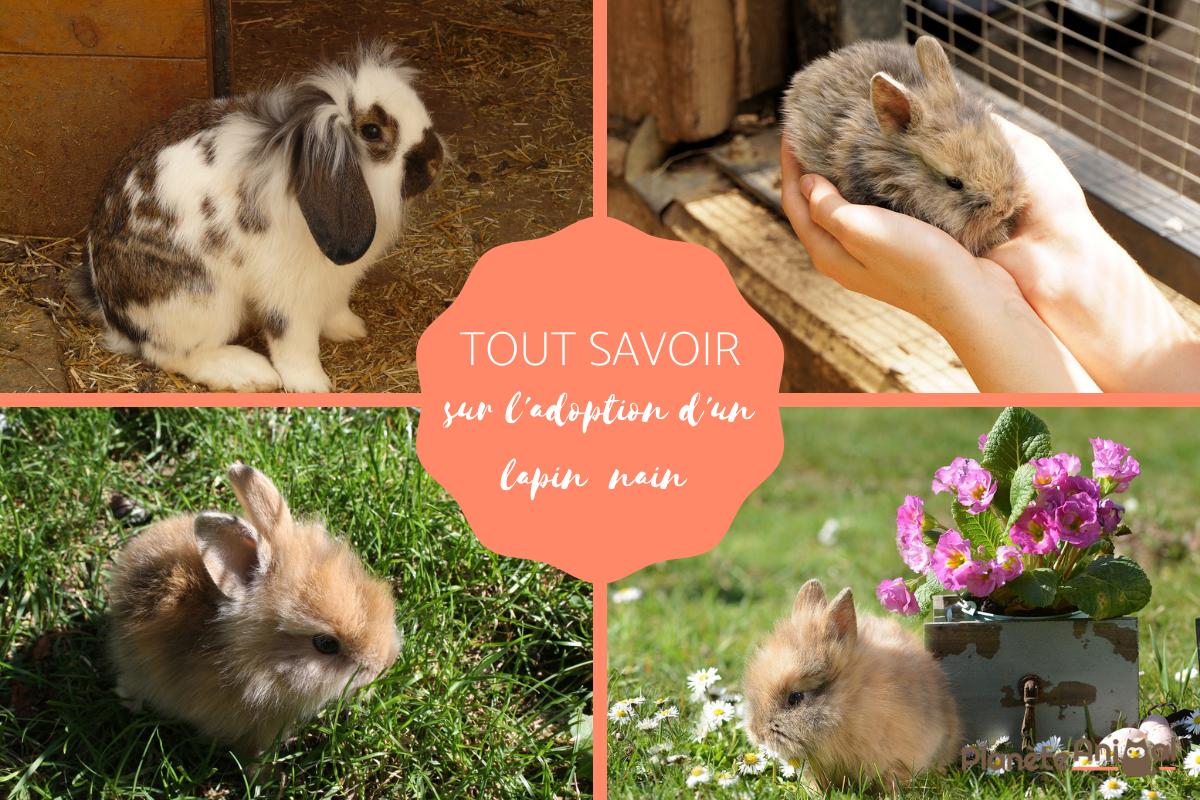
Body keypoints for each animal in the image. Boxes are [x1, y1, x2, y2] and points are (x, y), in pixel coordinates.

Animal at [73, 41, 443, 392]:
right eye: (371, 131)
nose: (435, 160)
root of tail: (110, 310)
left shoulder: (332, 282)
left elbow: (335, 309)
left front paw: (351, 329)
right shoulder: (289, 294)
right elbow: (295, 344)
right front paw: (312, 386)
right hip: (200, 300)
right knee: (172, 355)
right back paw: (249, 373)